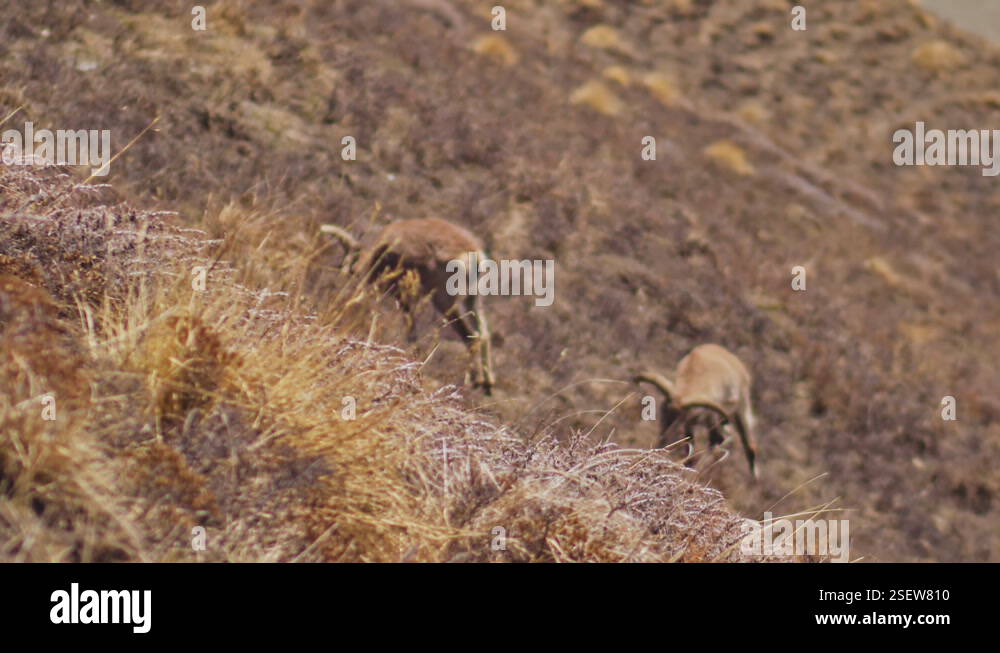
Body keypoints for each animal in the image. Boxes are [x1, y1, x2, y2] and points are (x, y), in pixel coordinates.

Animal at [321, 218, 495, 395]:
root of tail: (473, 254)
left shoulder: (403, 296)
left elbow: (410, 332)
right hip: (473, 299)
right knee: (484, 333)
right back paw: (487, 384)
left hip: (444, 299)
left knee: (471, 335)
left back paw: (470, 382)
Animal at [635, 344, 758, 479]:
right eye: (663, 413)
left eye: (680, 418)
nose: (664, 440)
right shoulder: (691, 423)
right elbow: (690, 443)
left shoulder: (709, 416)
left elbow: (716, 440)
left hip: (740, 408)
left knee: (746, 443)